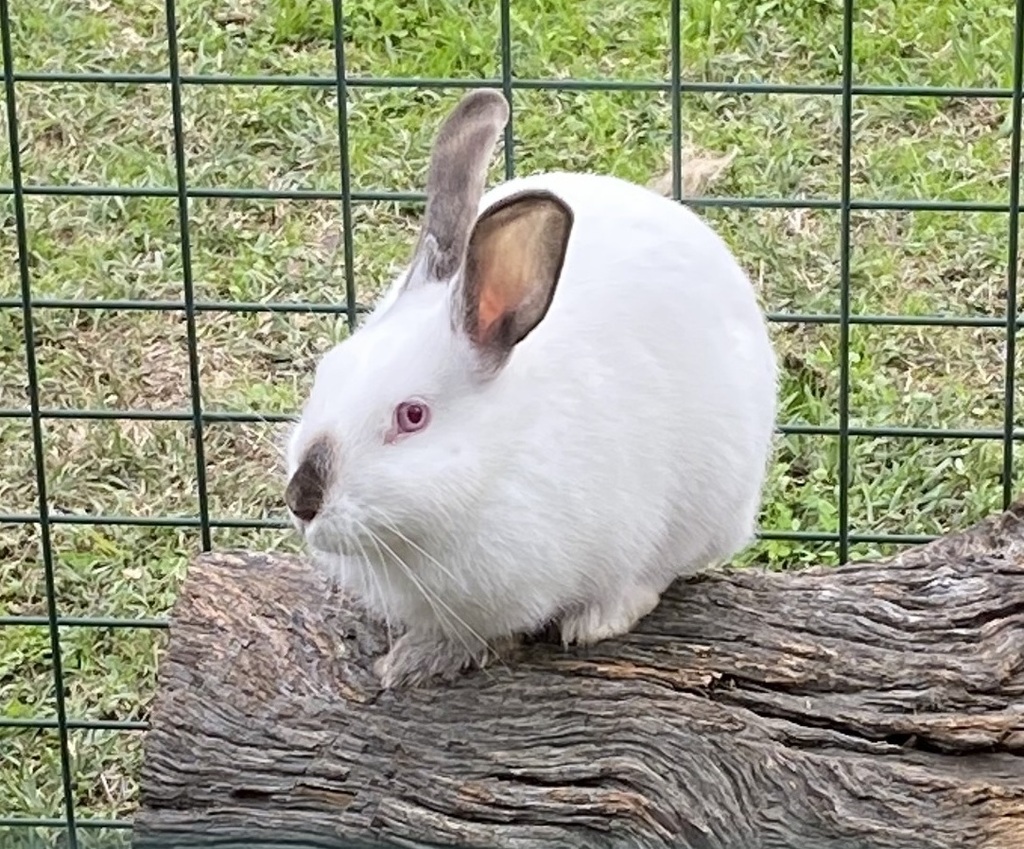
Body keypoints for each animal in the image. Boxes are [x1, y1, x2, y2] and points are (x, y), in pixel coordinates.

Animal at [284, 88, 779, 689]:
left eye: (412, 416)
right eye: (326, 373)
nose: (302, 500)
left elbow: (637, 582)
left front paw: (595, 623)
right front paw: (419, 658)